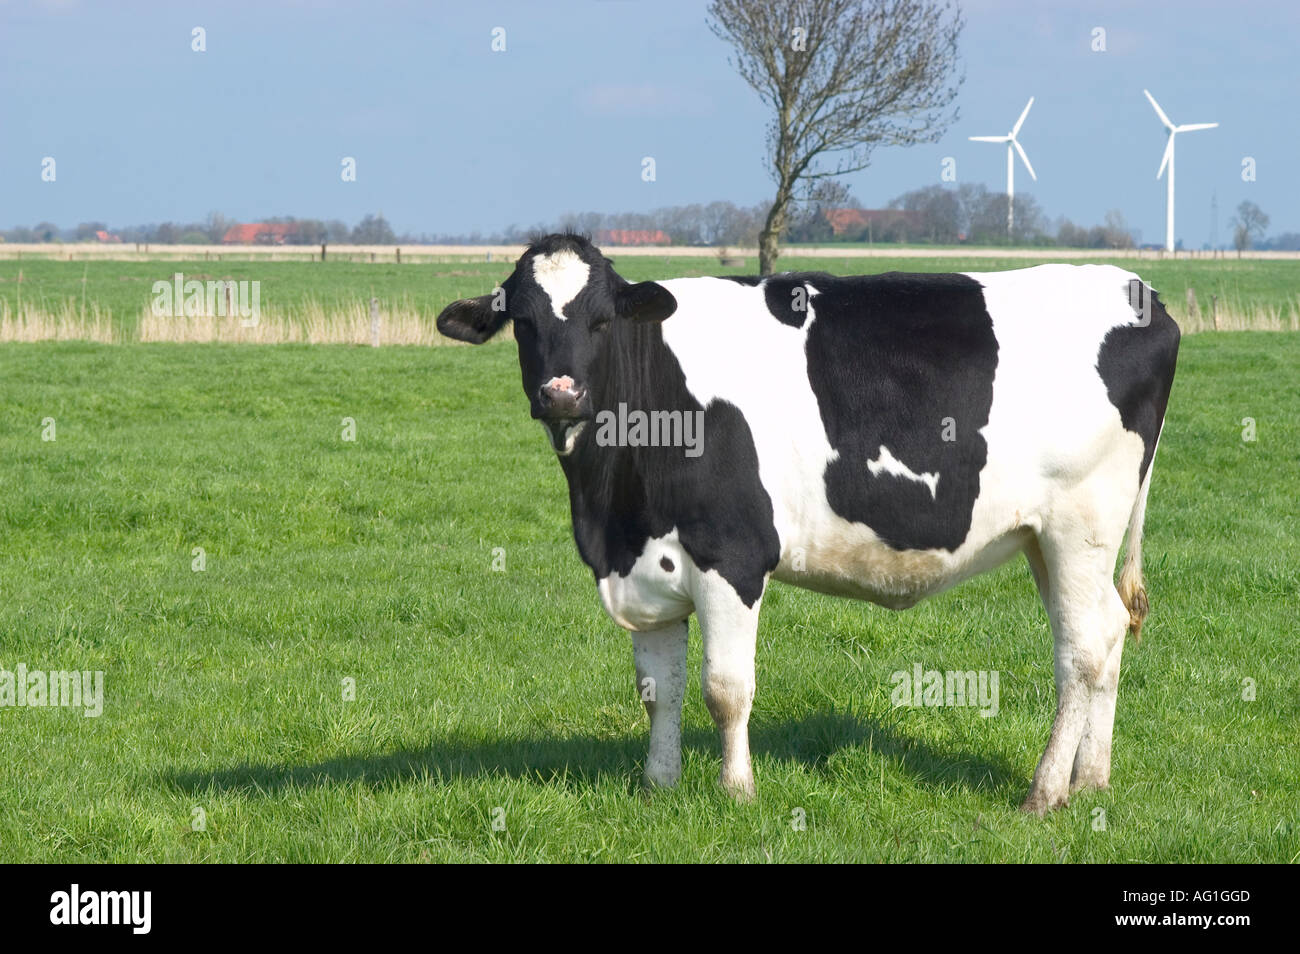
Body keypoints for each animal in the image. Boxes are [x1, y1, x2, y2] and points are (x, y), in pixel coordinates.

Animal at [436, 233, 1180, 814]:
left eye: (599, 320)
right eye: (522, 321)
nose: (562, 394)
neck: (611, 509)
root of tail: (1138, 291)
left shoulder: (732, 555)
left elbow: (726, 690)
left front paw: (737, 793)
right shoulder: (646, 567)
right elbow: (659, 692)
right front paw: (658, 788)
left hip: (1081, 521)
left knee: (1081, 650)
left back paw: (1045, 792)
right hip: (1046, 539)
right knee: (1108, 629)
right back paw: (1091, 780)